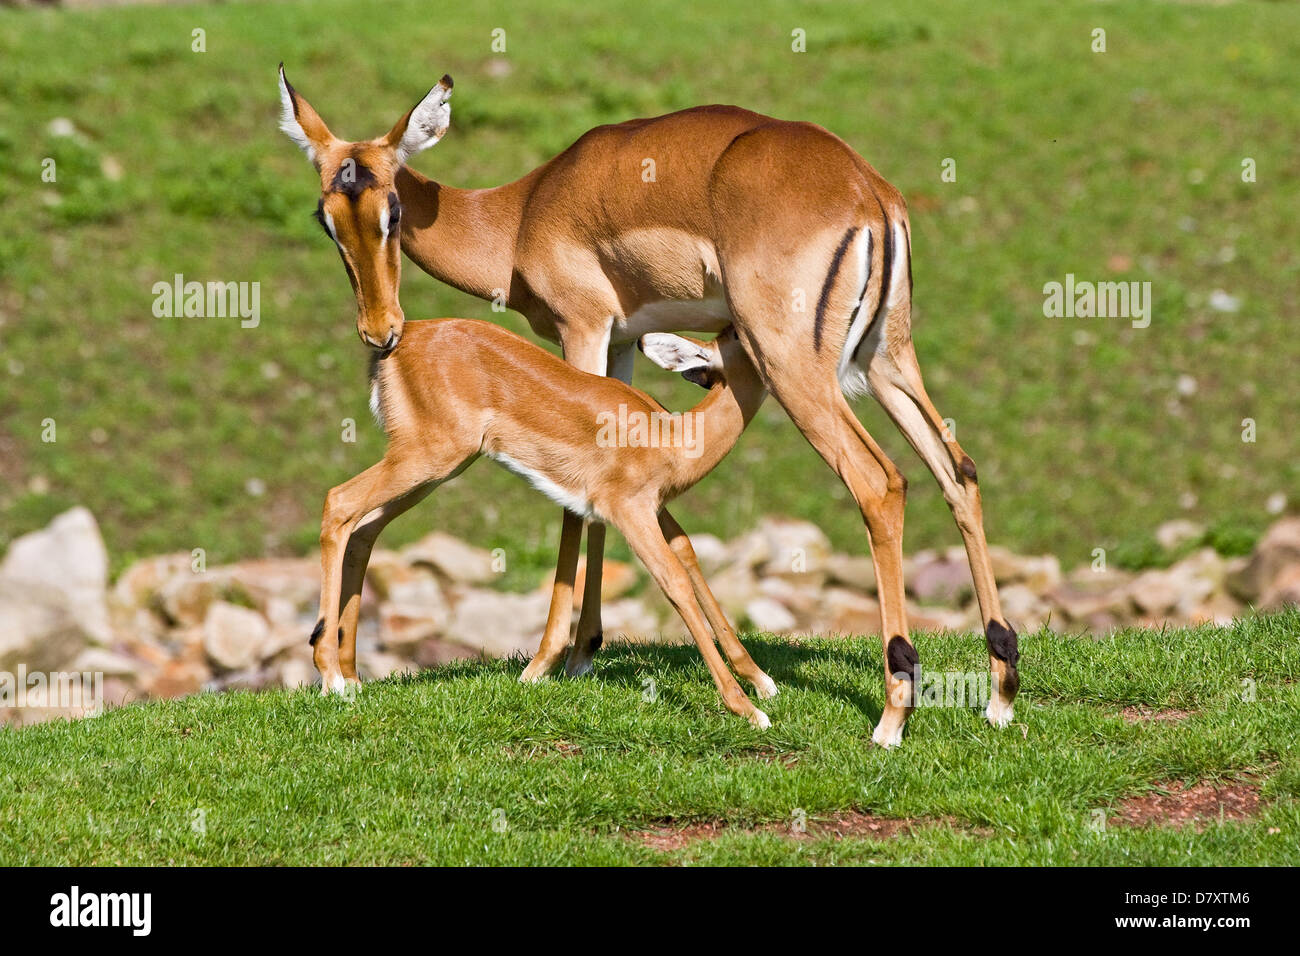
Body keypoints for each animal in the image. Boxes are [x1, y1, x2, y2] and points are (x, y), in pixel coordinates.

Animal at [311, 320, 778, 728]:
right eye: (739, 334)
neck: (672, 438)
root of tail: (402, 339)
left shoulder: (655, 509)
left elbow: (690, 556)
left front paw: (762, 681)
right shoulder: (629, 511)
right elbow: (675, 581)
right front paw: (748, 710)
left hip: (434, 471)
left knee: (363, 530)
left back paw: (352, 676)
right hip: (425, 459)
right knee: (338, 501)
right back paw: (331, 677)